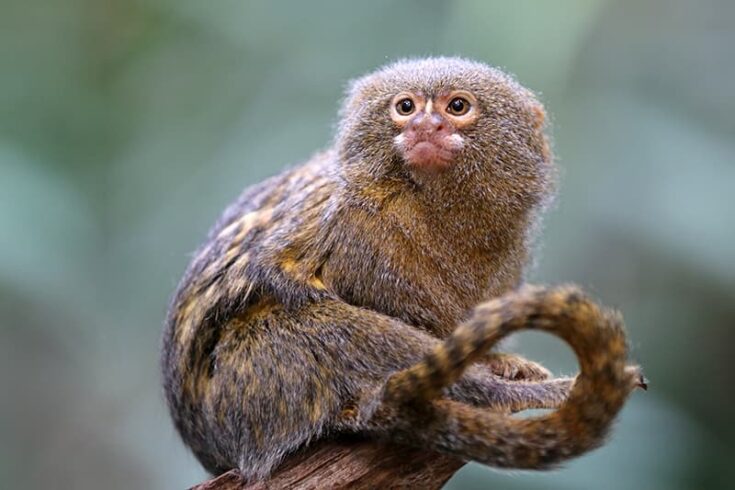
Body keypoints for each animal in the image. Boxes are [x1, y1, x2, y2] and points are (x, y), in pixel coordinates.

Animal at [161, 57, 645, 483]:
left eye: (457, 107)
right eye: (406, 107)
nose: (425, 127)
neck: (427, 201)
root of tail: (217, 452)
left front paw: (500, 360)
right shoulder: (343, 218)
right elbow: (278, 273)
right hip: (251, 387)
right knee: (320, 327)